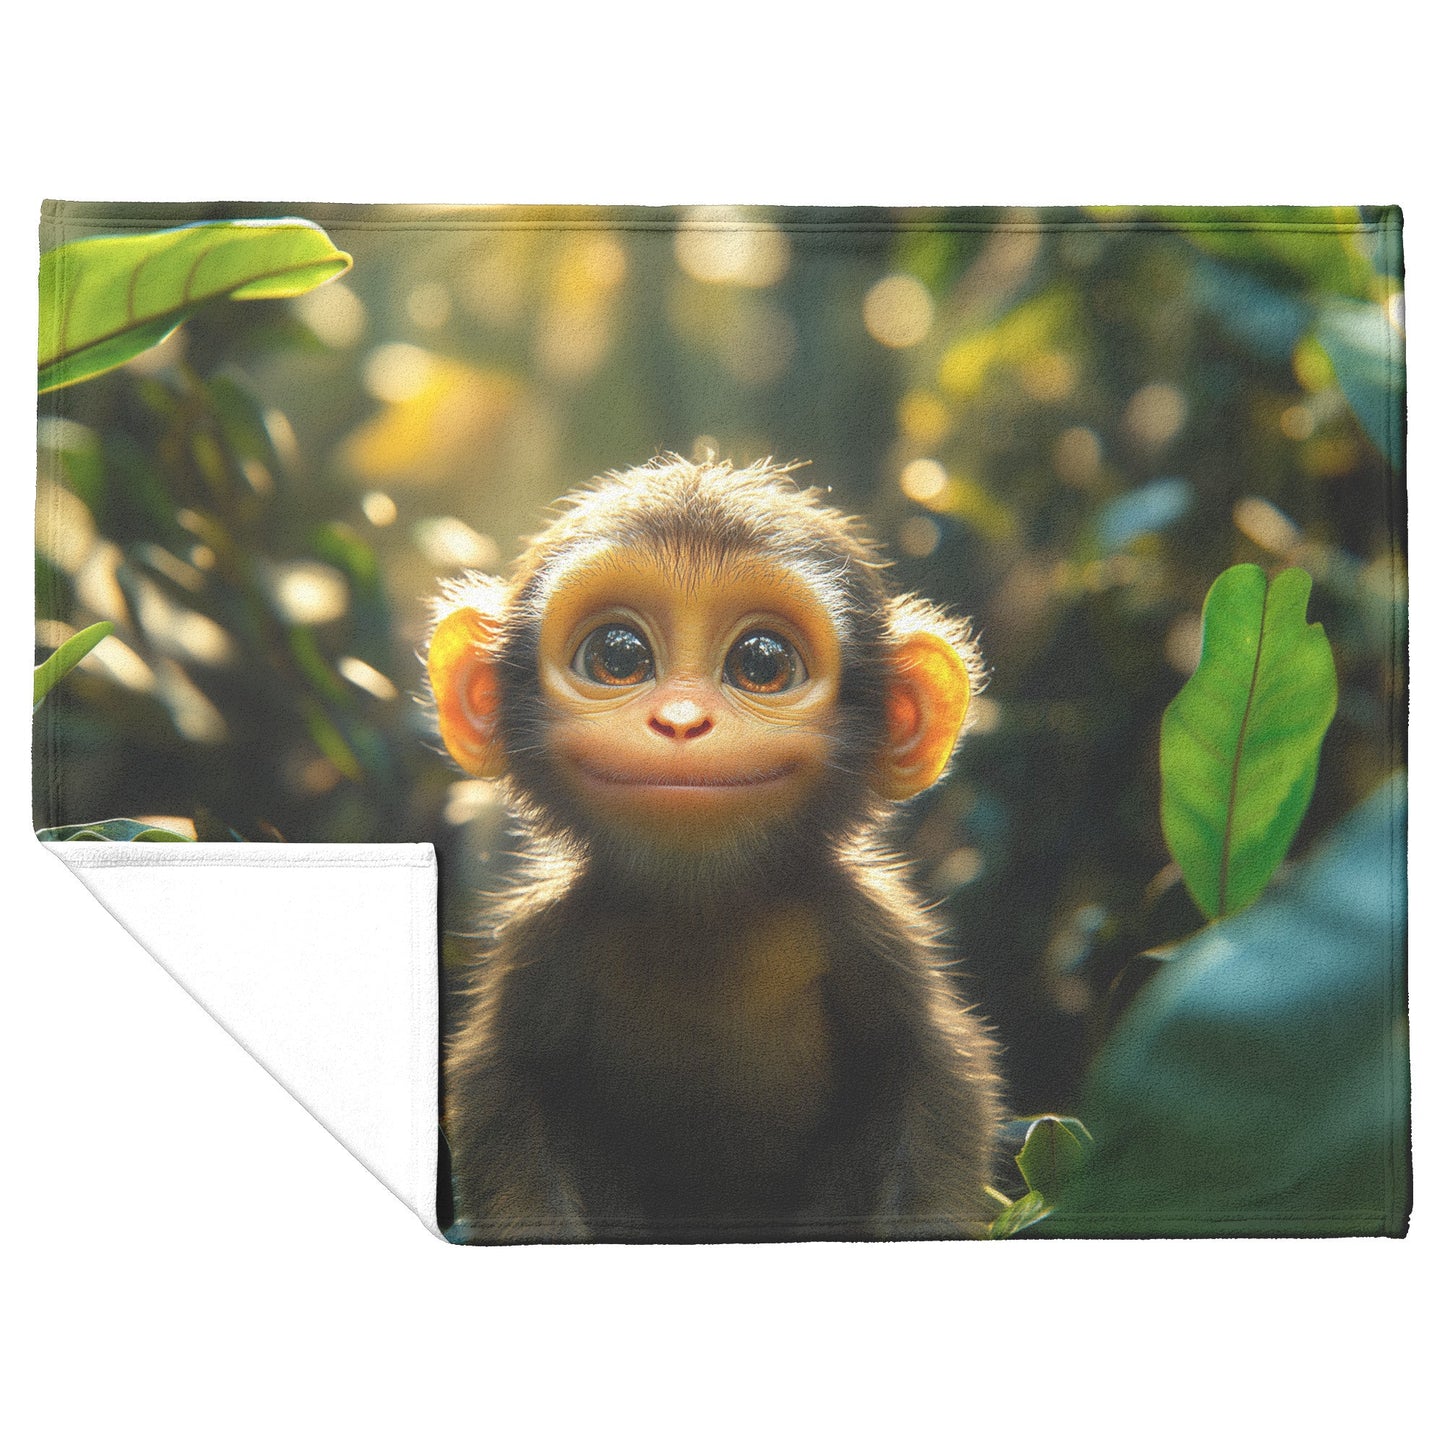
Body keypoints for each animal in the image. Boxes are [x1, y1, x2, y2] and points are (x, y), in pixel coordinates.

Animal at [426, 455, 1003, 1242]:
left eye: (761, 664)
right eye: (617, 656)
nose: (680, 719)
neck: (703, 915)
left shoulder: (870, 929)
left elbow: (931, 1070)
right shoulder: (542, 943)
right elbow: (507, 1091)